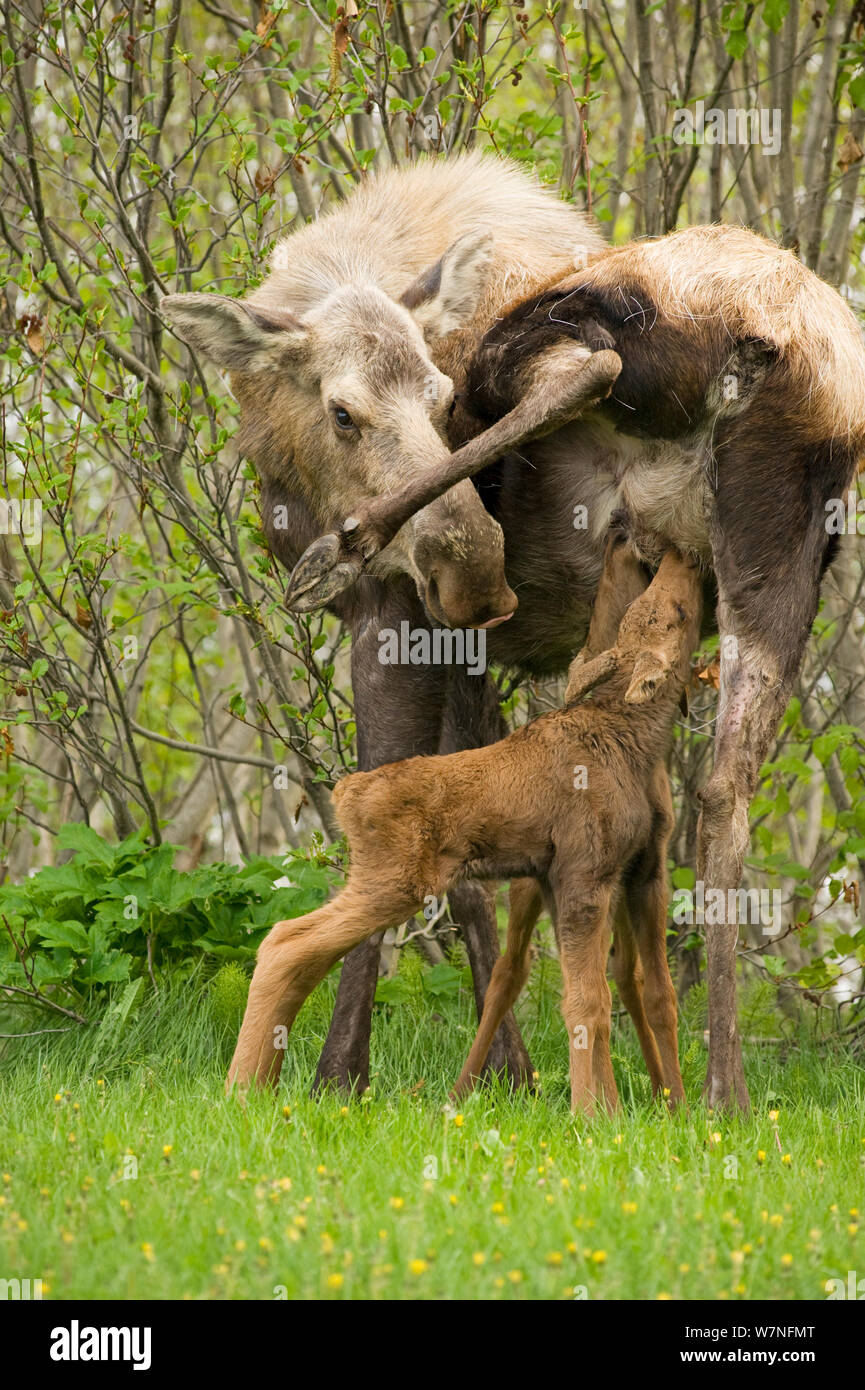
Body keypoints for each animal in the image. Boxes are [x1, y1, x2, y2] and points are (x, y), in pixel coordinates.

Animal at [228, 540, 702, 1113]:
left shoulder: (617, 874)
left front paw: (633, 1109)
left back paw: (259, 1087)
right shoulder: (585, 873)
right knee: (285, 942)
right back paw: (242, 1091)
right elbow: (589, 1003)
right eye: (678, 613)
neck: (634, 739)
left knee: (295, 947)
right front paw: (593, 1116)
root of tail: (344, 795)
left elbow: (639, 994)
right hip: (397, 881)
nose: (683, 557)